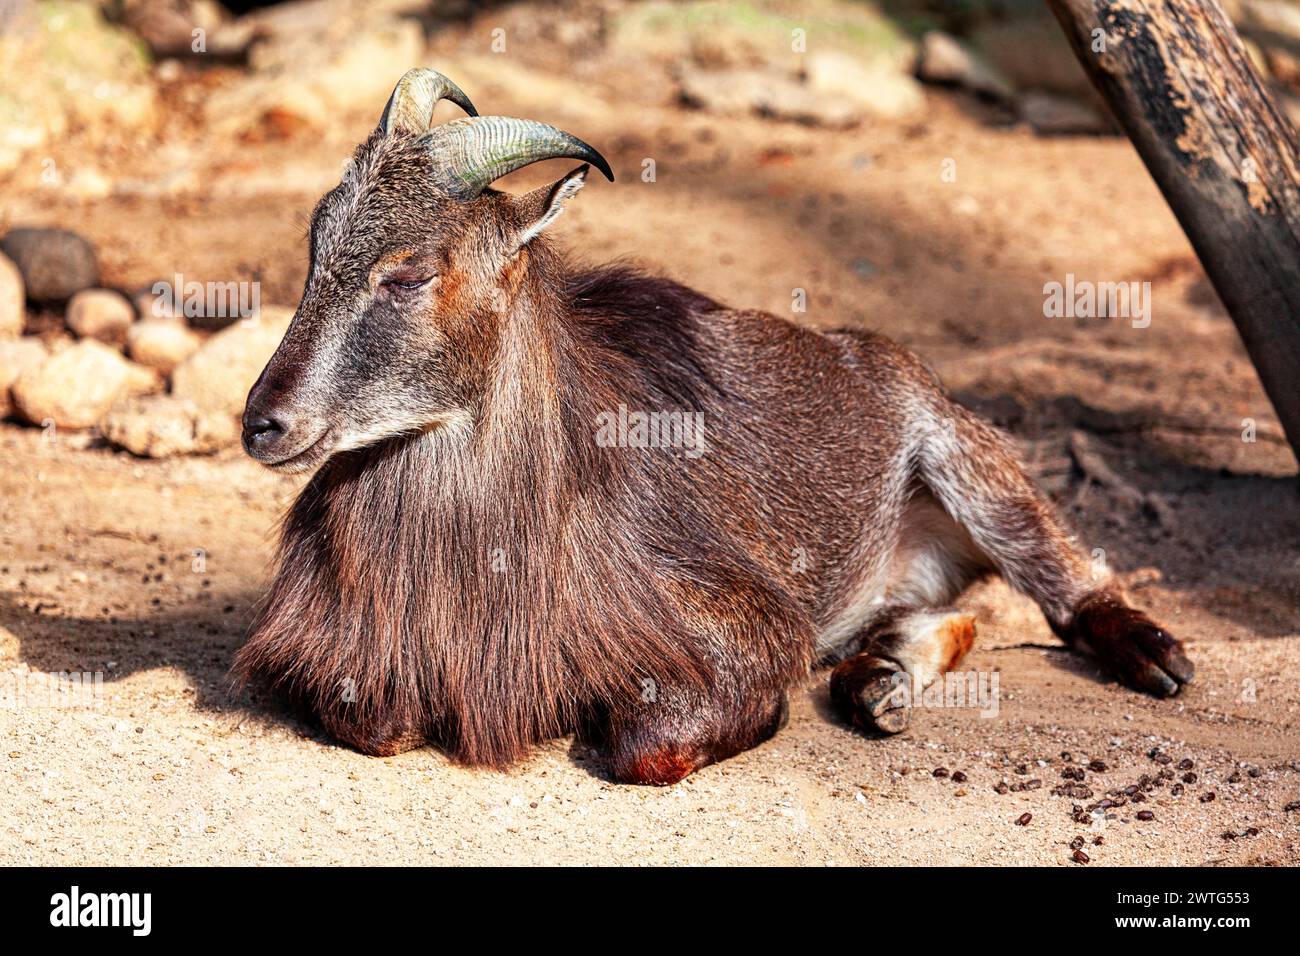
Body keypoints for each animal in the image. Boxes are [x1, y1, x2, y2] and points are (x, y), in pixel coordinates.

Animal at [235, 69, 1193, 784]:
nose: (263, 424)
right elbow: (375, 720)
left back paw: (1154, 658)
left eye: (409, 274)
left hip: (968, 463)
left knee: (1060, 581)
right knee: (954, 610)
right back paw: (877, 682)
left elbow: (651, 745)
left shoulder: (740, 625)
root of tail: (868, 352)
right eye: (316, 248)